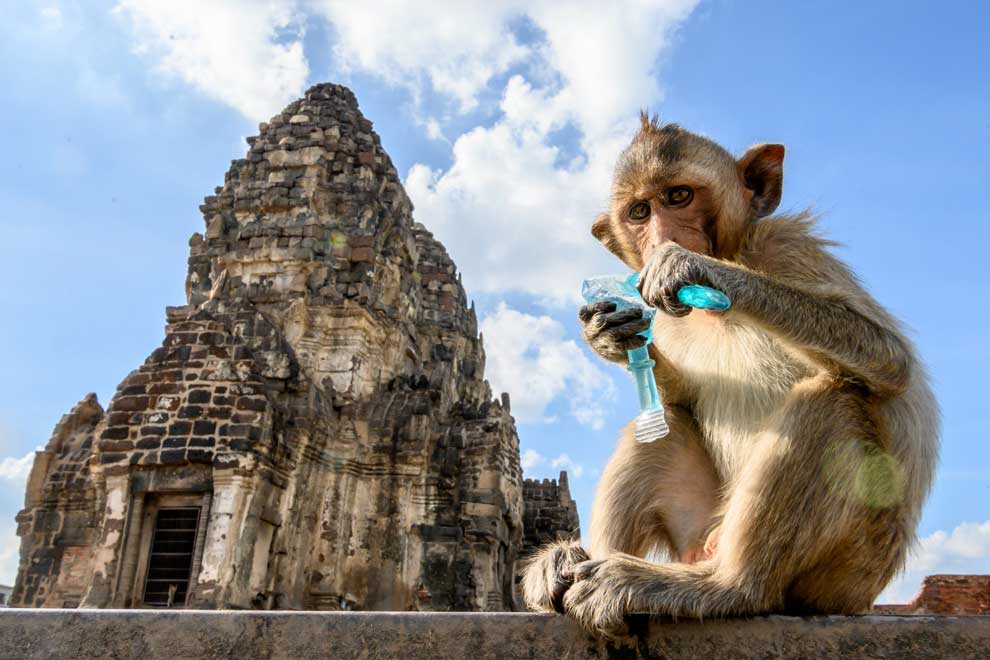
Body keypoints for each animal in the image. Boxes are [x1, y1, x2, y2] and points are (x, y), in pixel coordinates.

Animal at [521, 114, 939, 637]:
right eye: (639, 211)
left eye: (678, 197)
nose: (662, 235)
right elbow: (677, 396)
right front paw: (609, 335)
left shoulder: (789, 248)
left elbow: (889, 360)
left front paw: (695, 268)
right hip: (698, 532)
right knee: (666, 422)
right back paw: (570, 569)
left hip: (848, 565)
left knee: (832, 399)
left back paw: (728, 587)